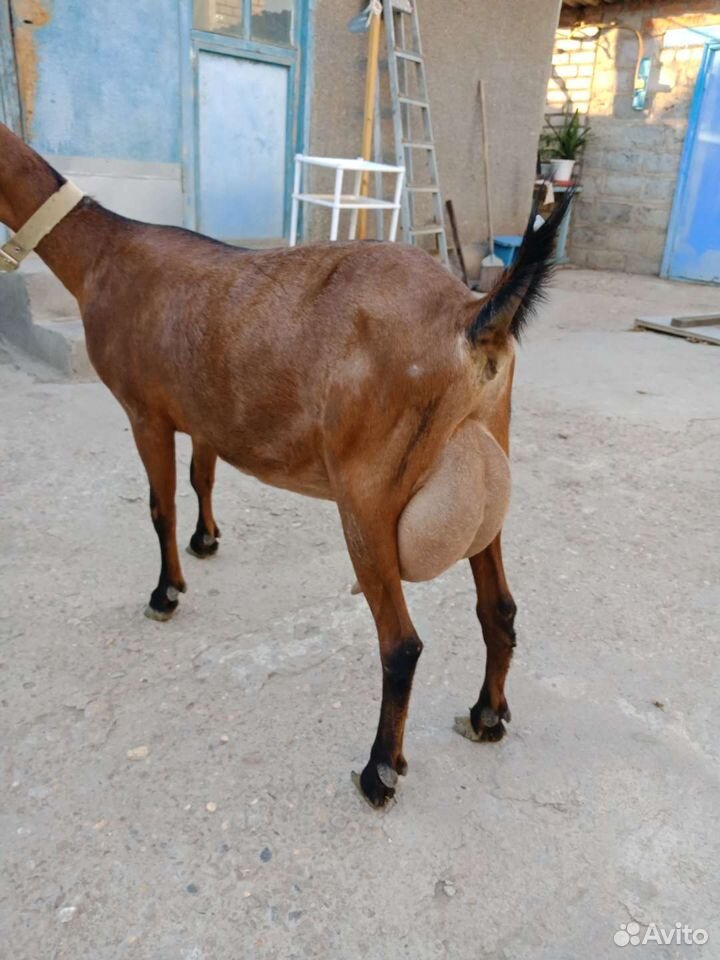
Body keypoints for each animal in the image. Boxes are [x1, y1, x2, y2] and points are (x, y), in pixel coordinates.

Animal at [0, 123, 569, 807]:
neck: (99, 254)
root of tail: (471, 316)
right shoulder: (205, 412)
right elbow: (202, 476)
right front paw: (206, 541)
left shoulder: (145, 412)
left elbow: (160, 507)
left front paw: (166, 593)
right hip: (486, 456)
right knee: (498, 607)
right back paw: (487, 715)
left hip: (366, 491)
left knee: (400, 643)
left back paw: (379, 770)